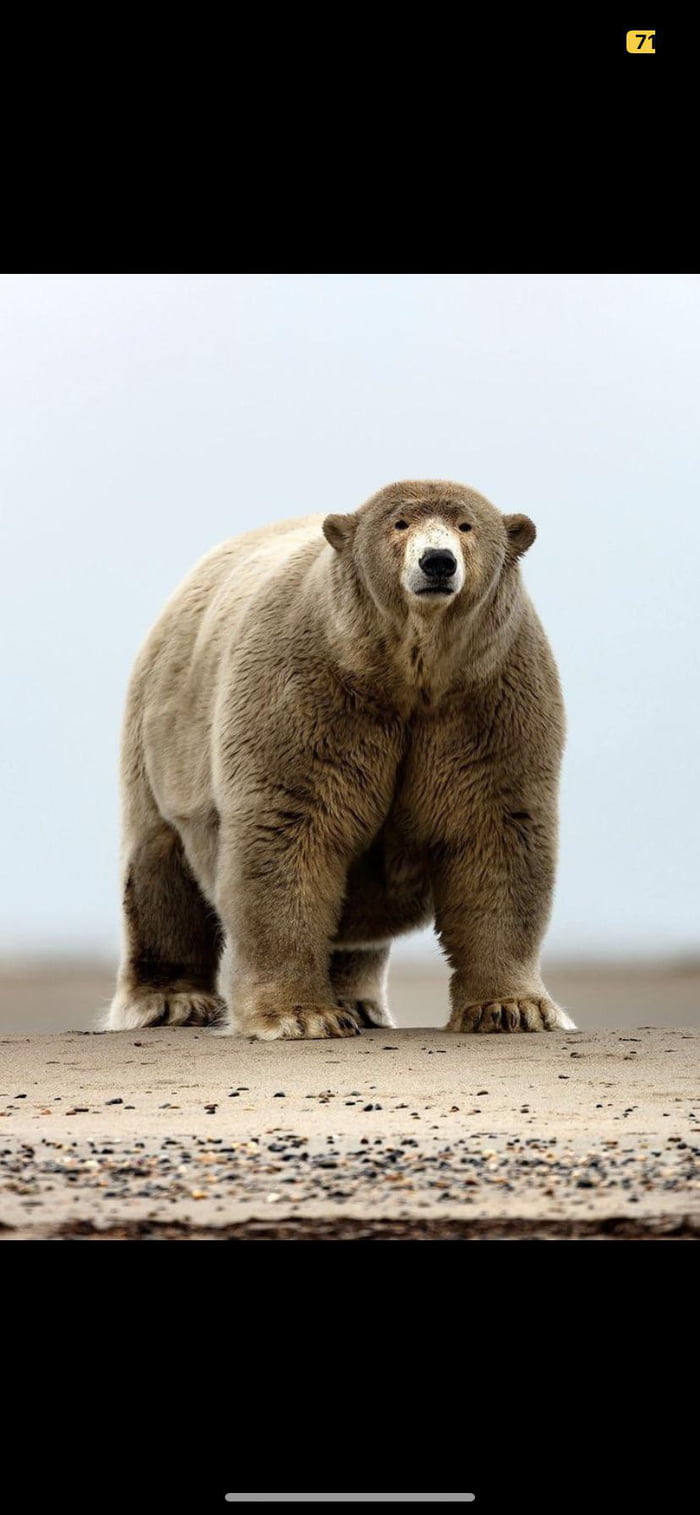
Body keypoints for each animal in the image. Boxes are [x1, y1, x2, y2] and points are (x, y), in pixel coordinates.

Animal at [106, 479, 576, 1039]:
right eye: (399, 523)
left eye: (466, 525)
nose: (438, 561)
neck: (407, 674)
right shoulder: (308, 690)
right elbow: (290, 830)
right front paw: (300, 1015)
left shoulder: (488, 697)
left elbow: (496, 833)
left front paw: (514, 1008)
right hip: (163, 734)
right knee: (159, 866)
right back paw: (172, 1001)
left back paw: (360, 1001)